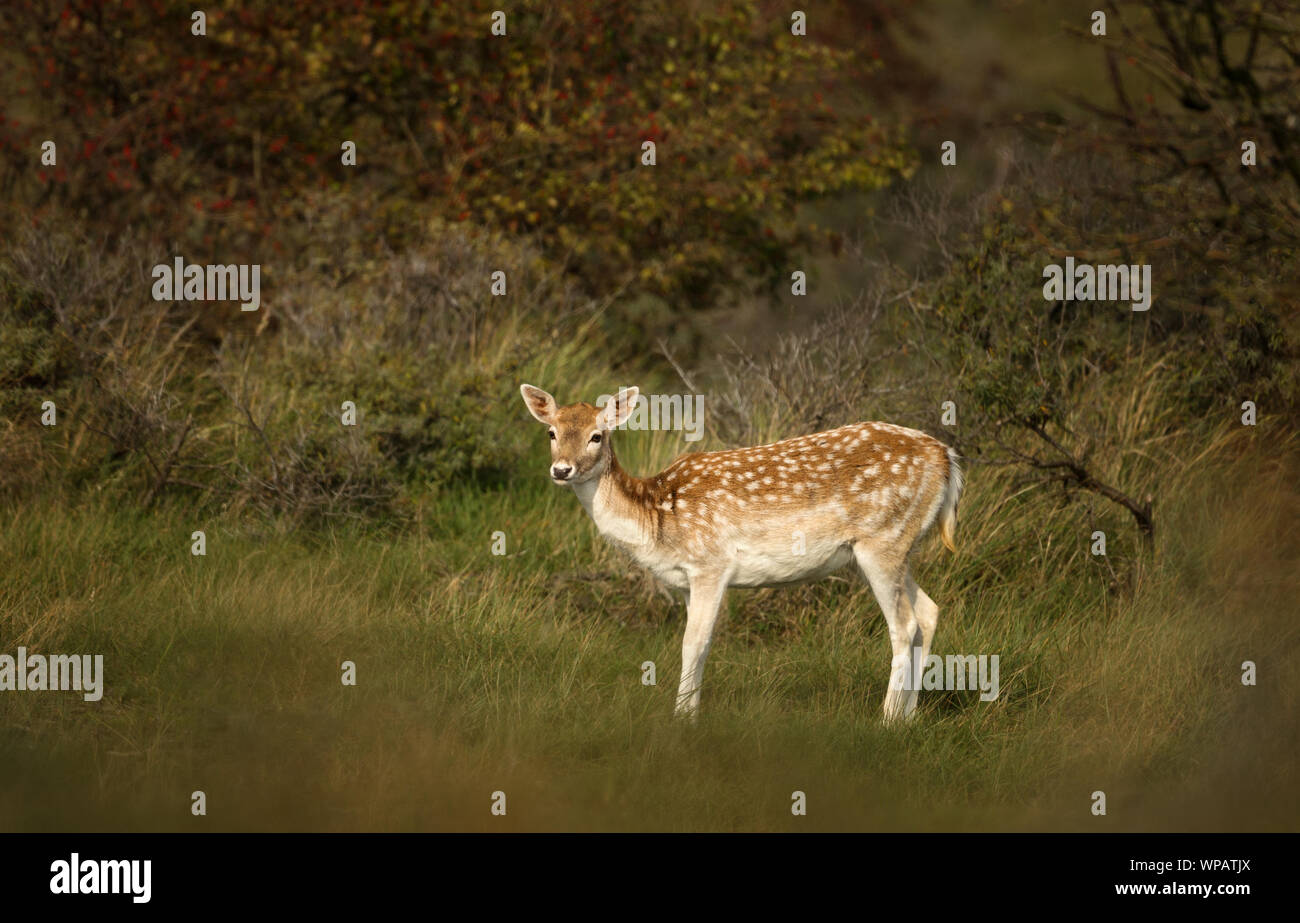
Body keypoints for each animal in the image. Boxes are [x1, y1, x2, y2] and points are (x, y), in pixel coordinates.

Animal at [519, 383, 963, 722]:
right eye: (551, 433)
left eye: (597, 435)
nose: (562, 470)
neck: (658, 519)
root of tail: (947, 460)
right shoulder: (688, 581)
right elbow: (701, 644)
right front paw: (691, 712)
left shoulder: (710, 563)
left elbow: (692, 643)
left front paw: (680, 719)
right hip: (895, 547)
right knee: (929, 612)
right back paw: (909, 718)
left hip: (882, 539)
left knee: (904, 625)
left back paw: (885, 721)